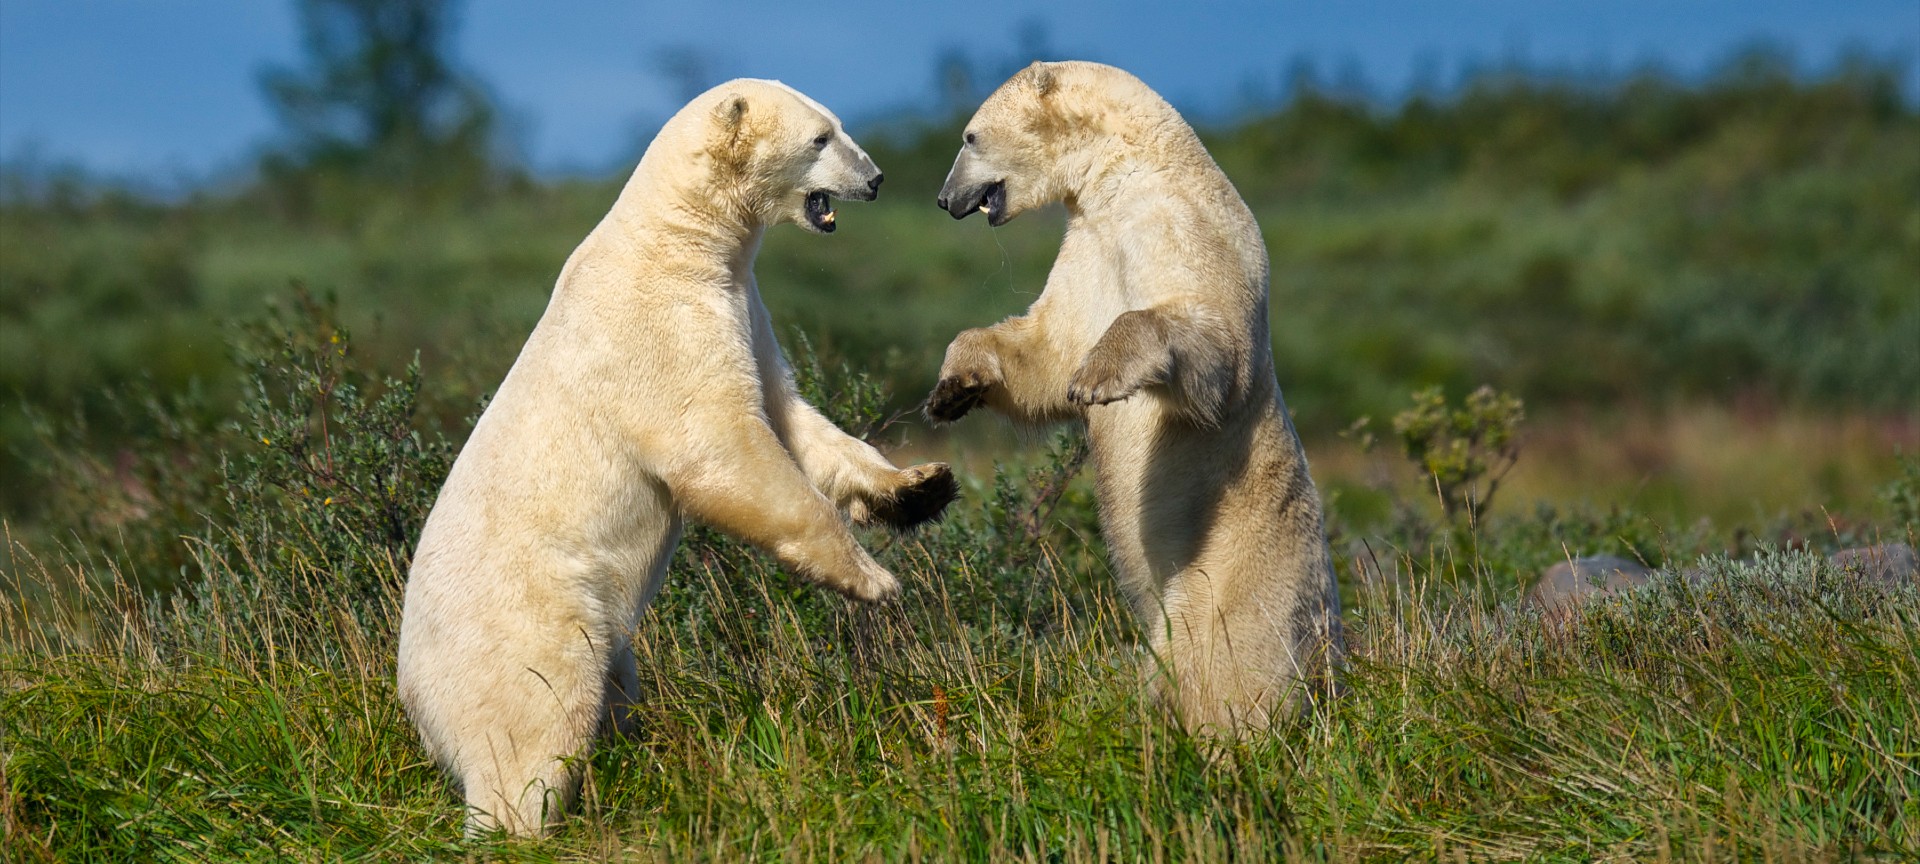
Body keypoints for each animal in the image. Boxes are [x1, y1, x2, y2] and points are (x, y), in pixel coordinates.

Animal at [396, 79, 957, 836]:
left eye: (837, 125)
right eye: (820, 137)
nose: (874, 178)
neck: (676, 240)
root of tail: (412, 693)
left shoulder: (743, 308)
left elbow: (795, 419)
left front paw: (922, 486)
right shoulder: (661, 327)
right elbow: (723, 449)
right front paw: (874, 580)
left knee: (612, 690)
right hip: (529, 620)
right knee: (532, 728)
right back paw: (528, 824)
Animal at [925, 61, 1342, 735]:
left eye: (968, 136)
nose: (945, 199)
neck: (1131, 171)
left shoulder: (1182, 228)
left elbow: (1207, 340)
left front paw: (1099, 377)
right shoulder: (1090, 245)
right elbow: (1047, 346)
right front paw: (952, 388)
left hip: (1237, 573)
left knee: (1218, 664)